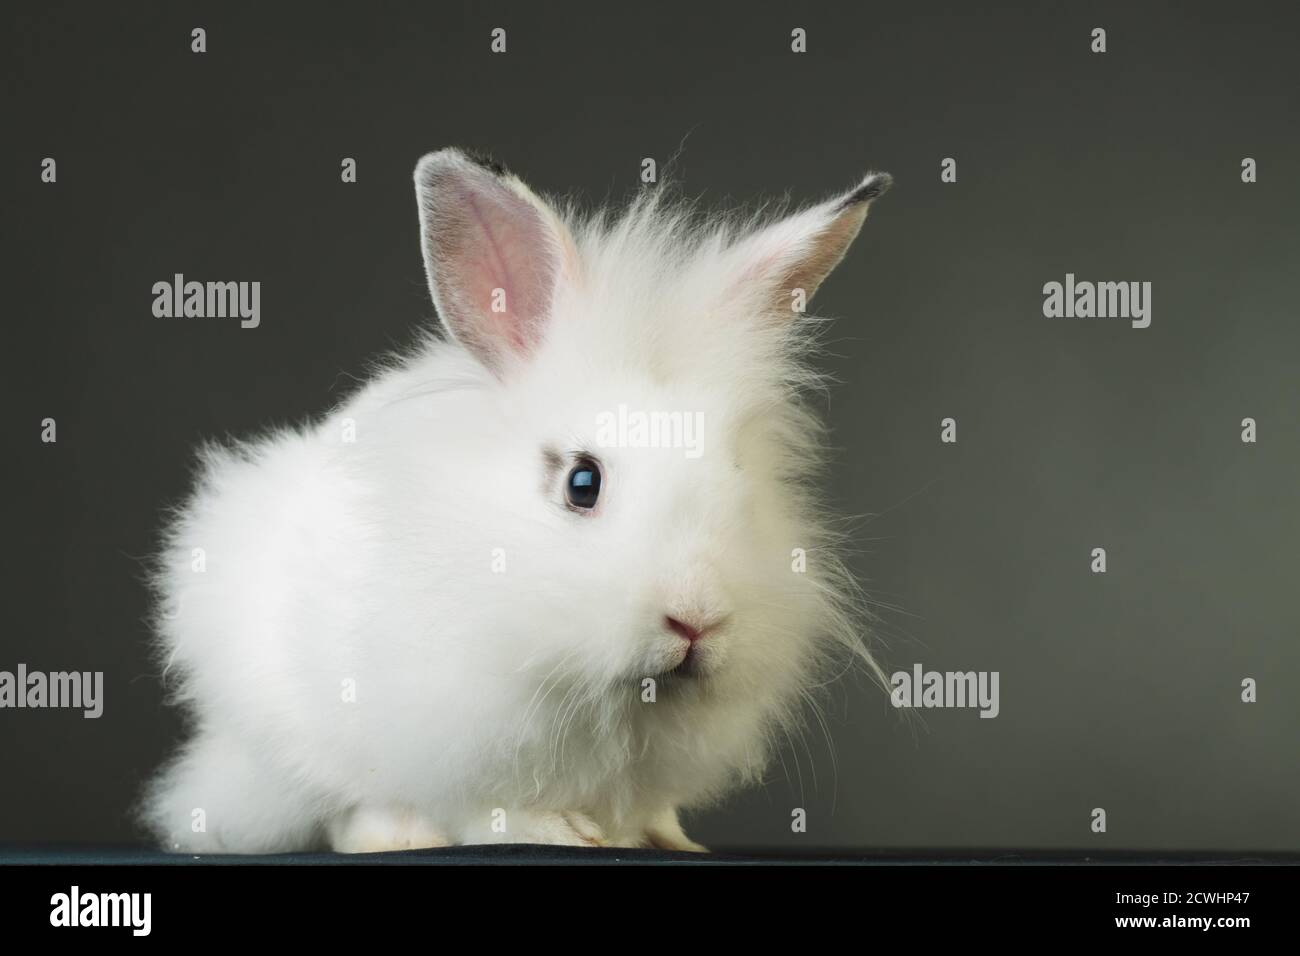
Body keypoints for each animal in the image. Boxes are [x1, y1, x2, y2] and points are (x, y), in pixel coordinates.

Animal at [139, 148, 892, 853]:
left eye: (738, 475)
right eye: (582, 483)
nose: (697, 621)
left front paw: (664, 838)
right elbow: (483, 806)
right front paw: (560, 833)